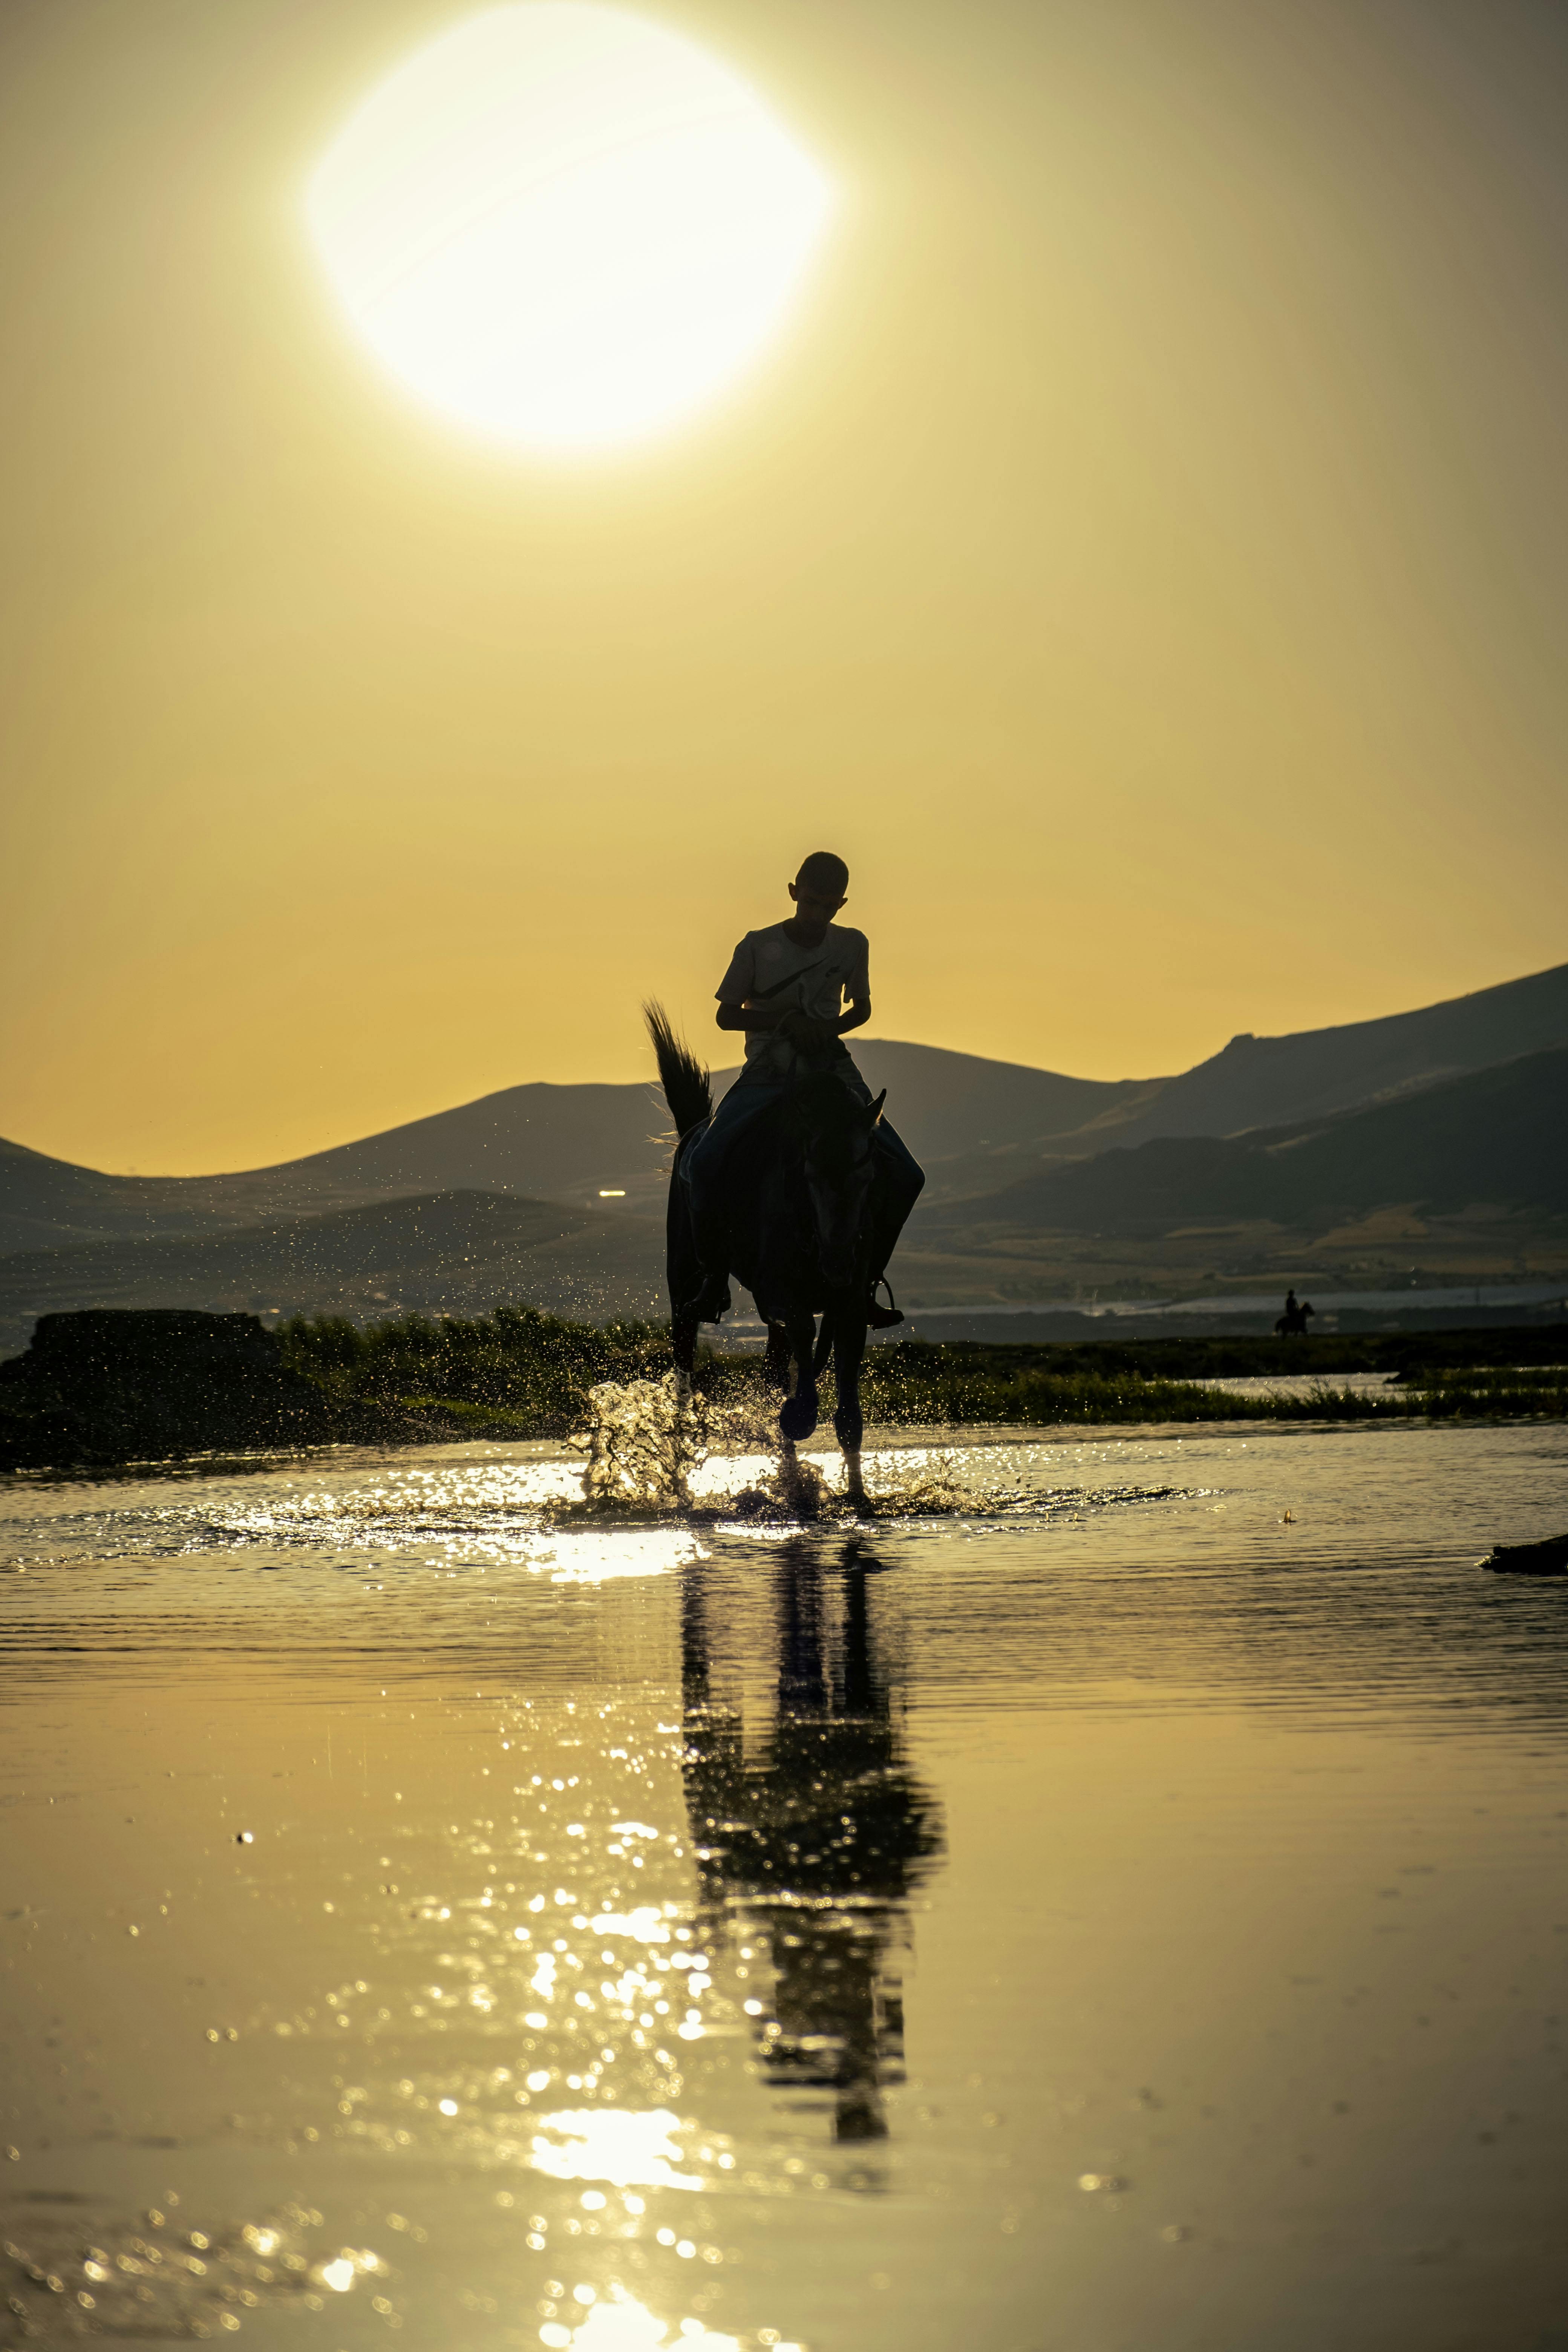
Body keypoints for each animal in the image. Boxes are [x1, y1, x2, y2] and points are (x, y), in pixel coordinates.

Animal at [645, 1001, 886, 1501]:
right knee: (683, 1377)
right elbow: (801, 1365)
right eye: (808, 1172)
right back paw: (680, 1481)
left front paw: (857, 1496)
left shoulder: (850, 1304)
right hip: (683, 1287)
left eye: (867, 1175)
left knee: (774, 1370)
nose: (837, 1263)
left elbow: (847, 1416)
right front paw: (799, 1413)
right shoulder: (780, 1295)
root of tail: (692, 1135)